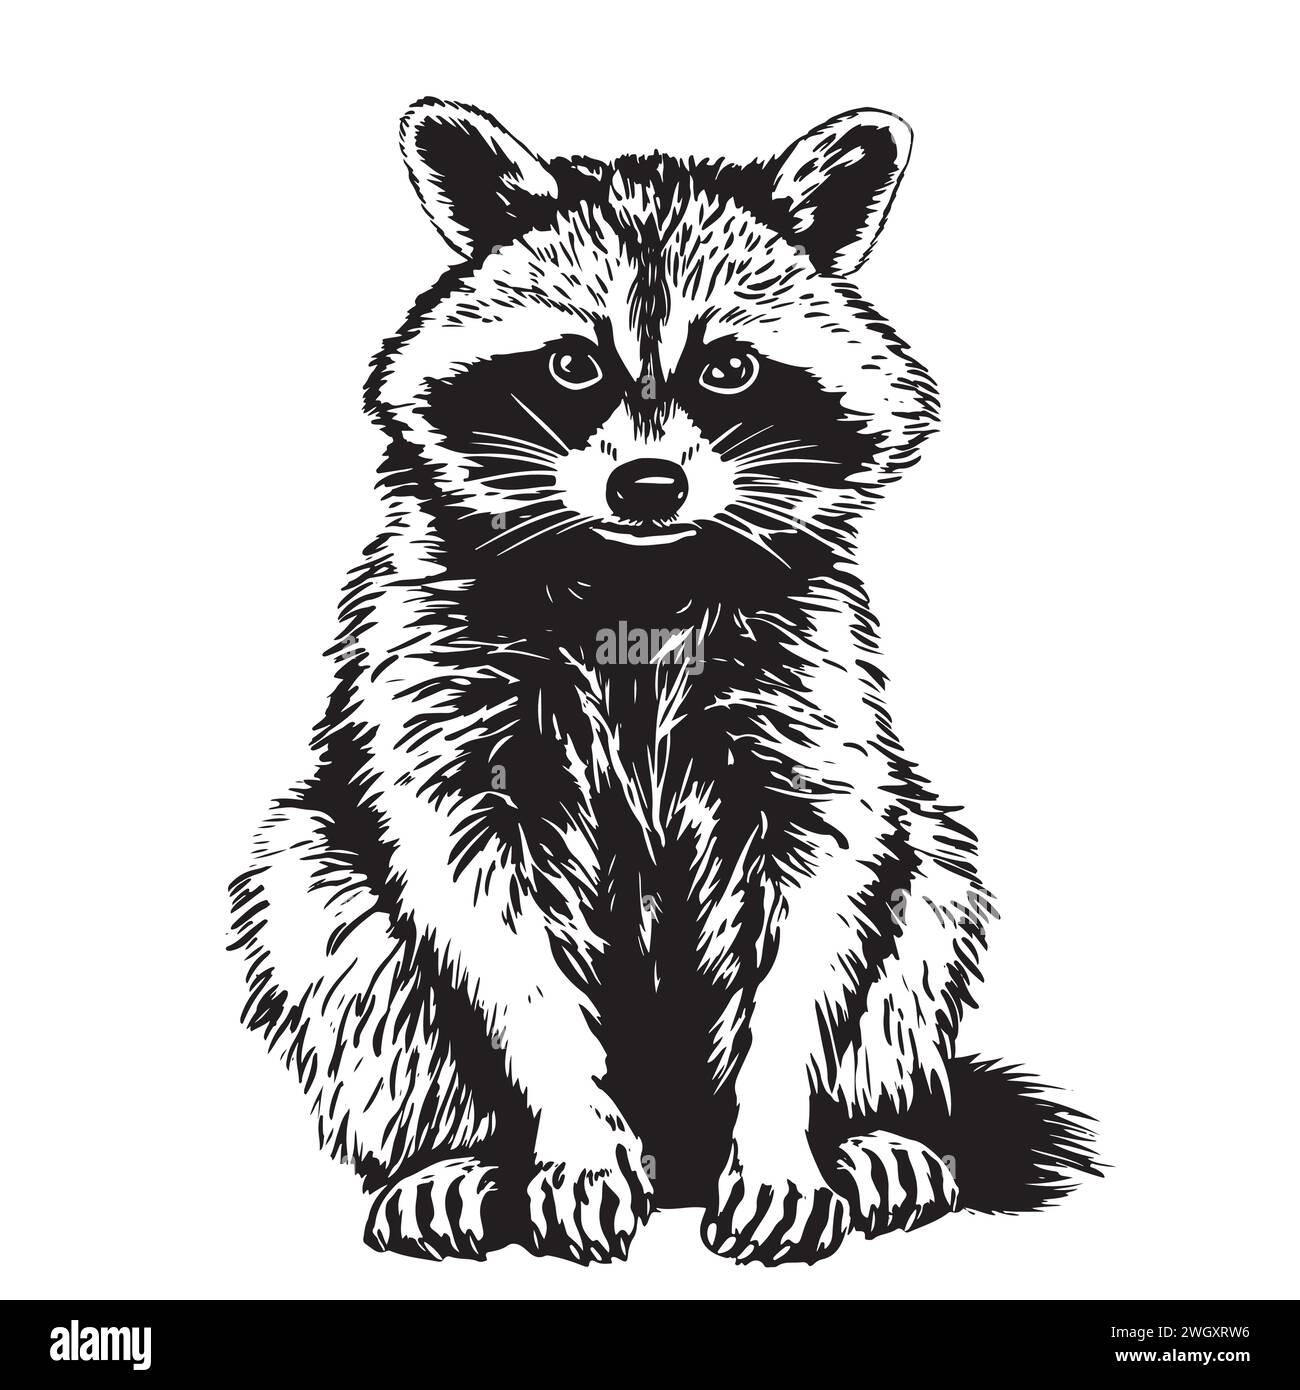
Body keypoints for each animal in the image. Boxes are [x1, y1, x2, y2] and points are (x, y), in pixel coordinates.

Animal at [229, 99, 1097, 1265]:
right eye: (570, 364)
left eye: (728, 368)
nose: (648, 484)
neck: (637, 572)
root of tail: (678, 1152)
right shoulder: (435, 666)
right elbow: (481, 913)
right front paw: (573, 1136)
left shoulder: (806, 683)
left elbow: (820, 894)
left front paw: (780, 1135)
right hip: (322, 887)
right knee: (331, 921)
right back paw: (450, 1154)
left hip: (927, 869)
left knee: (922, 883)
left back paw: (876, 1130)